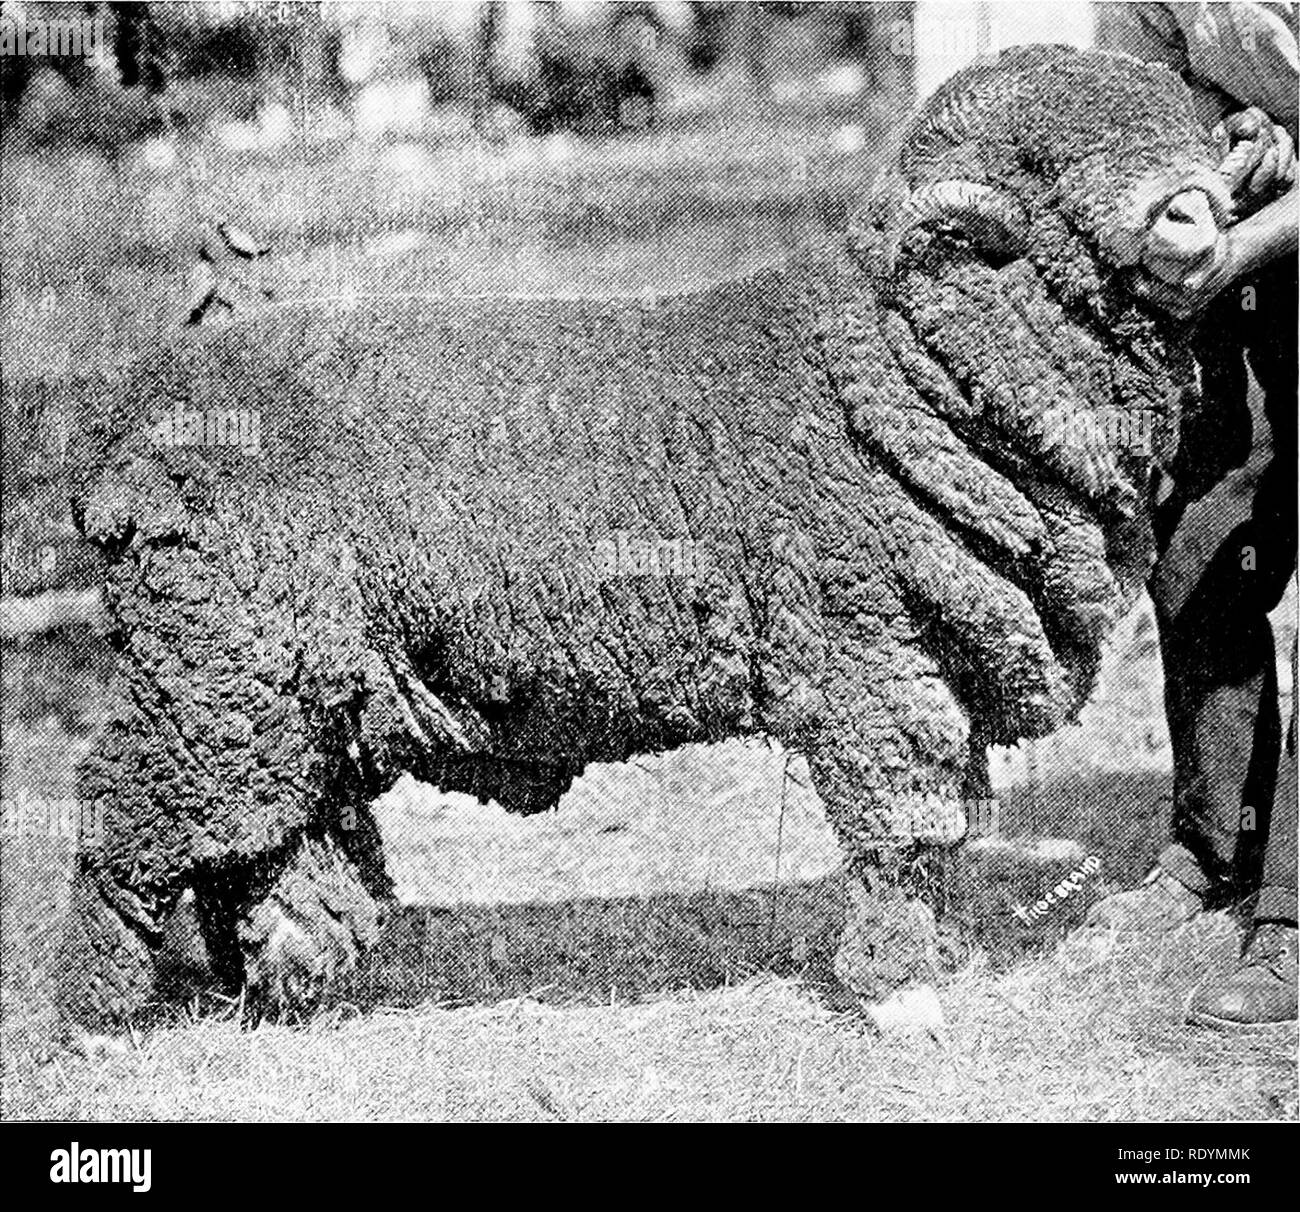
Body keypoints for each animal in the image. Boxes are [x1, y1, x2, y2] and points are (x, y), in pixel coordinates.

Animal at [52, 45, 1227, 1023]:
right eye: (1047, 174)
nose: (1196, 219)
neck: (885, 362)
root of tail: (125, 430)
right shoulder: (867, 658)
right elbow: (900, 835)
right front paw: (902, 997)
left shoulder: (929, 661)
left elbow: (937, 834)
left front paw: (933, 966)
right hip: (216, 666)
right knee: (126, 814)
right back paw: (99, 1014)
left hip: (275, 692)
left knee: (256, 841)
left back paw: (270, 981)